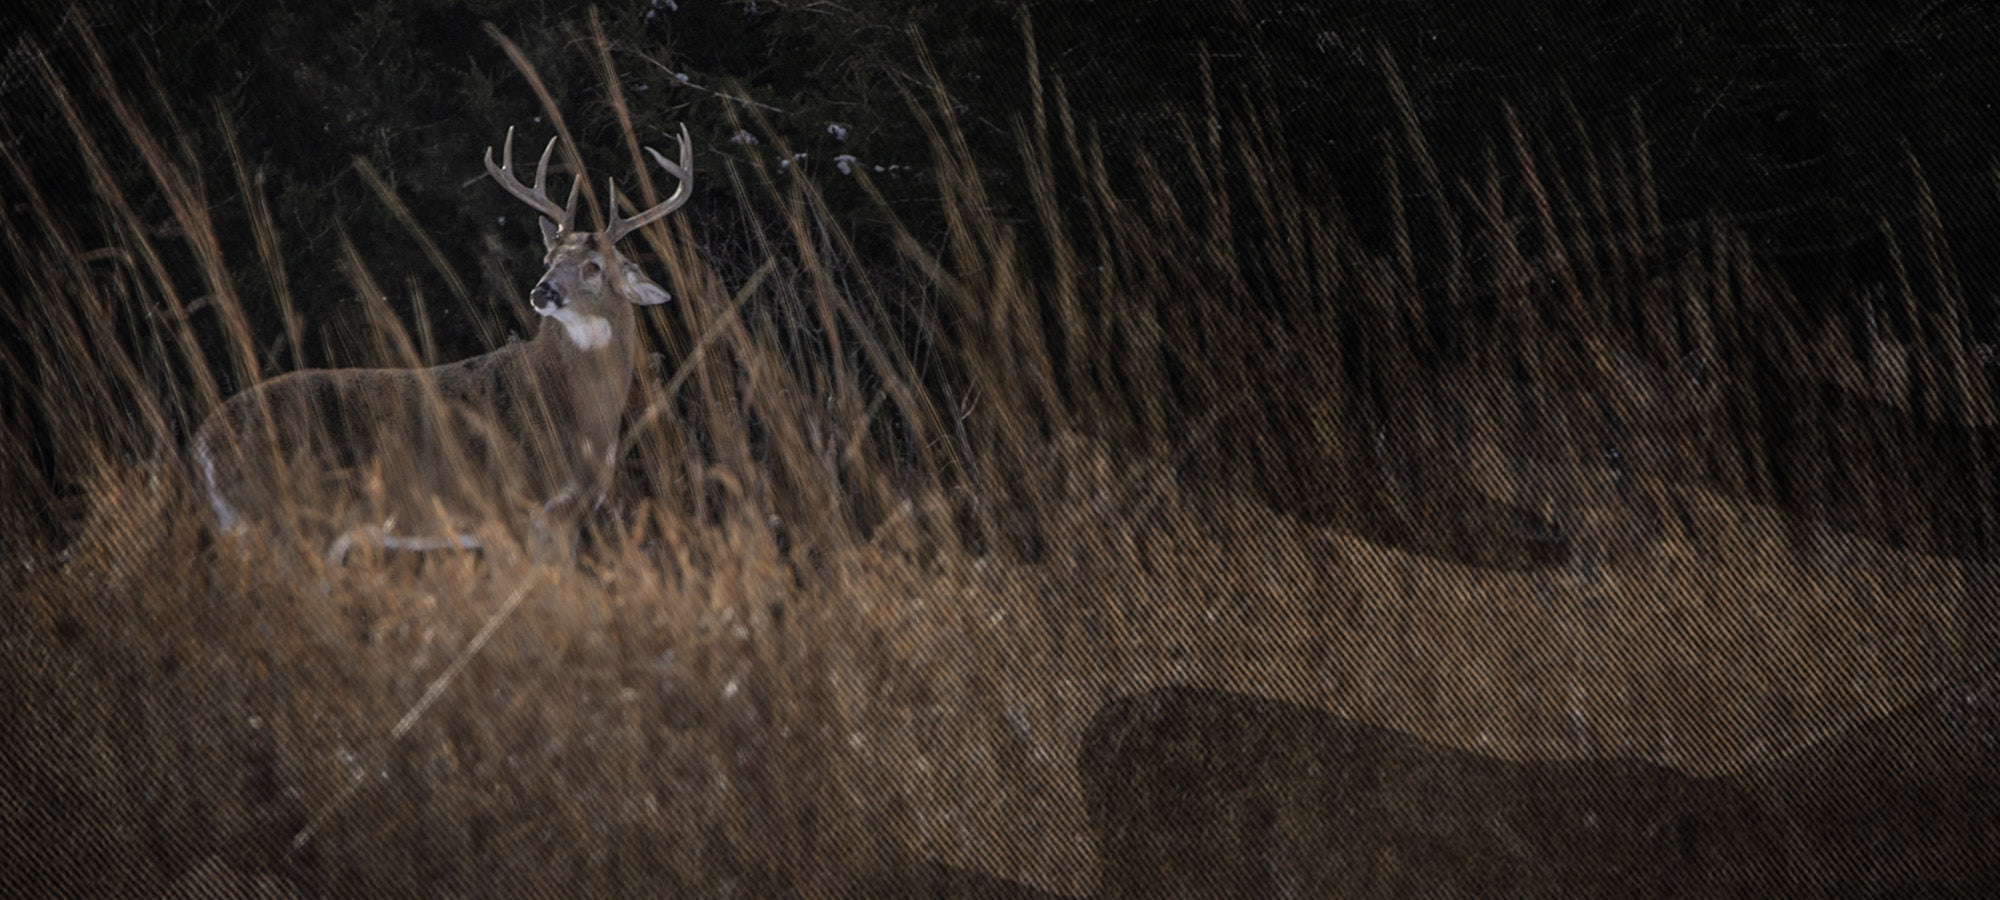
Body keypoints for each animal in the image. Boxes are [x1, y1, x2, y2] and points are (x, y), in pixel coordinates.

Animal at [190, 125, 692, 567]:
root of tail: (203, 443)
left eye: (593, 266)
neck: (575, 411)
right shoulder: (506, 509)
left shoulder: (564, 520)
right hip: (291, 523)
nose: (542, 291)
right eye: (550, 257)